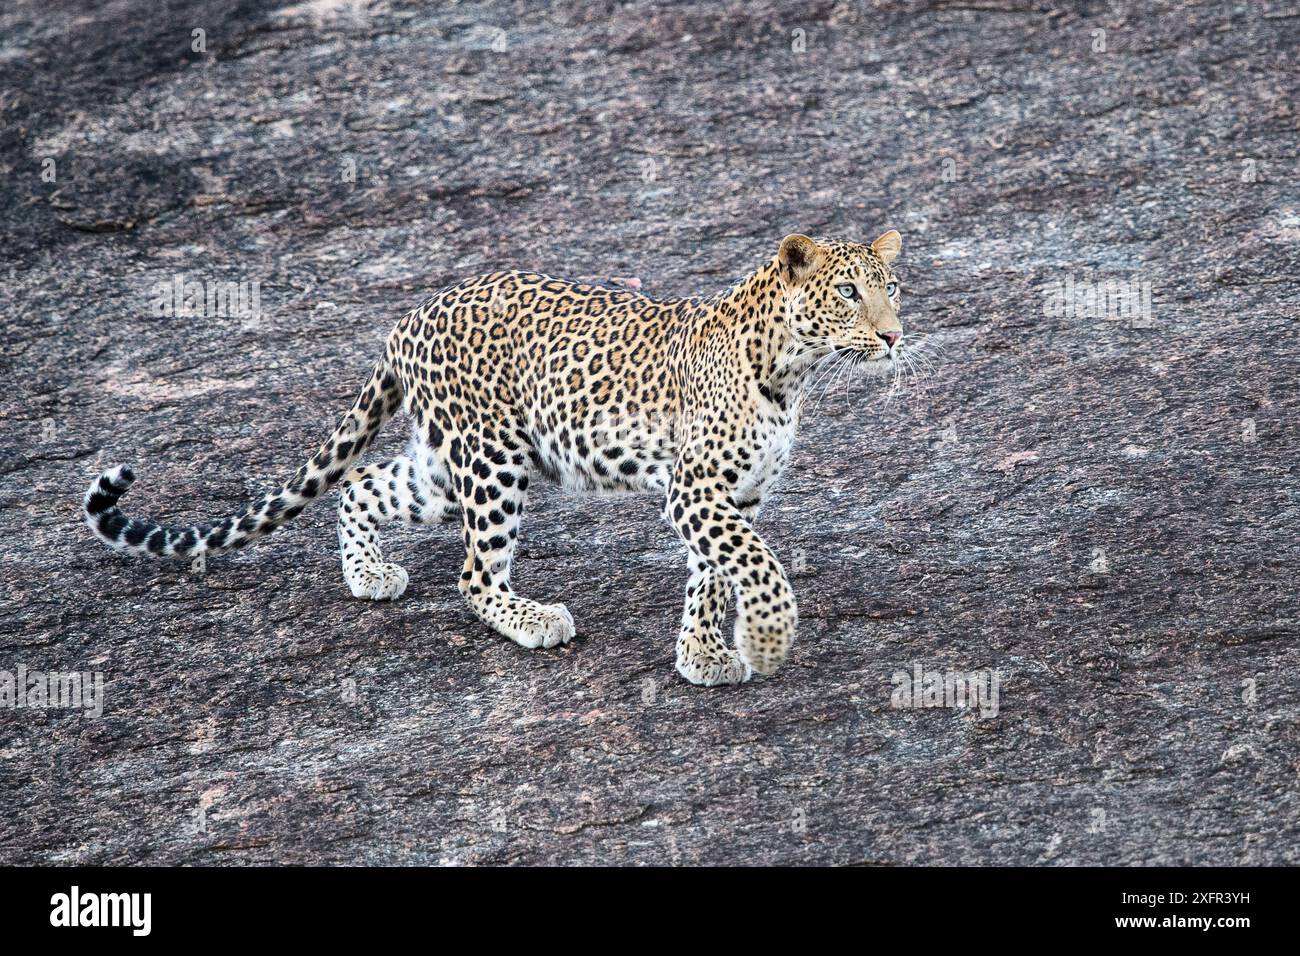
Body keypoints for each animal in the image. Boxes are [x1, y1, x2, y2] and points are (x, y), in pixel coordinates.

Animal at [84, 231, 905, 686]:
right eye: (846, 292)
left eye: (892, 288)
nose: (895, 335)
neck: (793, 370)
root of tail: (408, 318)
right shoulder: (697, 491)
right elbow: (757, 567)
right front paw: (766, 643)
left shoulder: (732, 497)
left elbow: (715, 576)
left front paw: (703, 654)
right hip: (490, 459)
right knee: (473, 574)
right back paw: (531, 618)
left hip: (444, 467)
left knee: (362, 482)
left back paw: (367, 575)